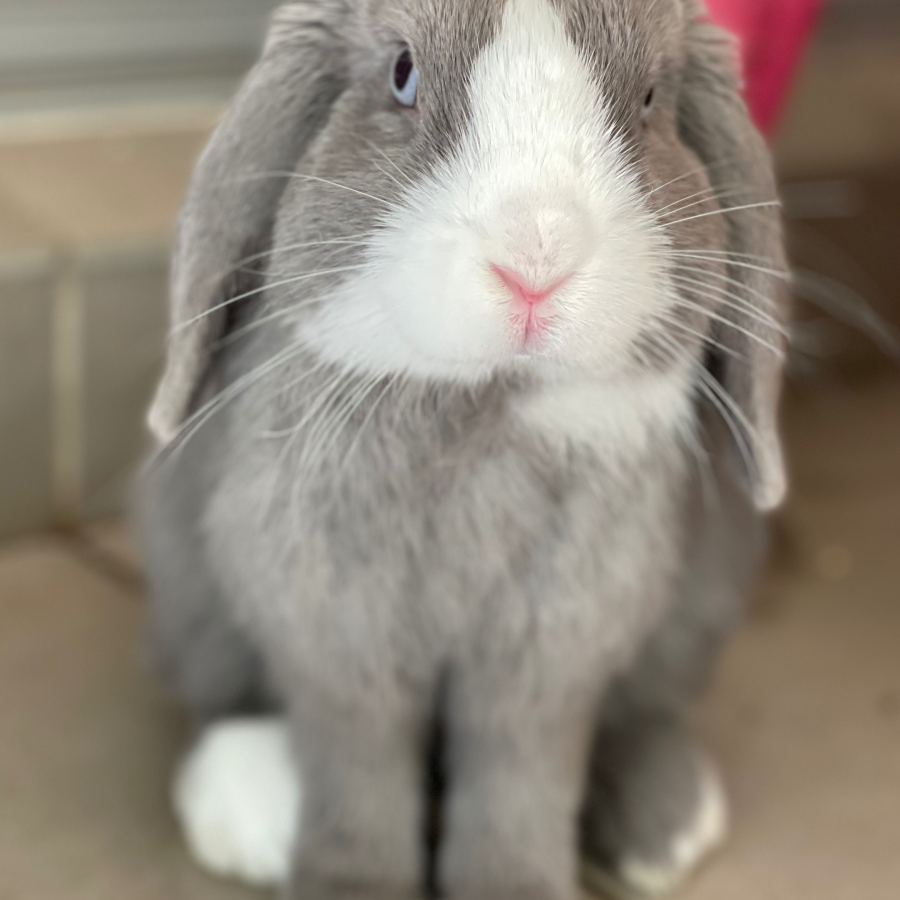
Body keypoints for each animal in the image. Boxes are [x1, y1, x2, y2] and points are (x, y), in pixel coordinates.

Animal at [137, 1, 789, 899]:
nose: (536, 260)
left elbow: (523, 776)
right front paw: (349, 885)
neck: (483, 410)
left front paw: (516, 885)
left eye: (653, 98)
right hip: (186, 585)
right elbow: (357, 767)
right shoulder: (335, 629)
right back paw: (250, 811)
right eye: (402, 74)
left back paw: (668, 830)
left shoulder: (553, 647)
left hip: (701, 600)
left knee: (645, 714)